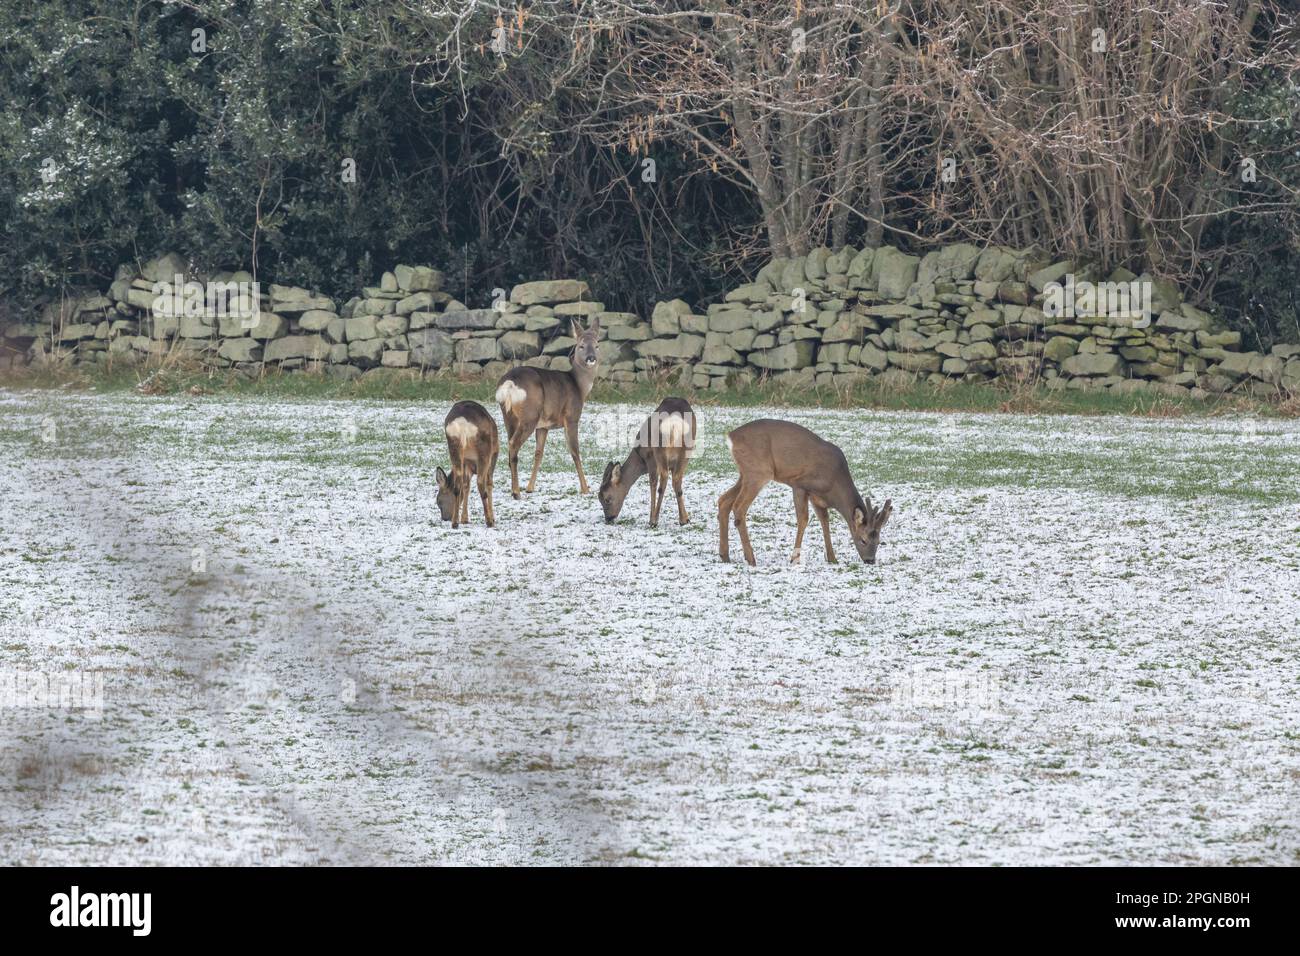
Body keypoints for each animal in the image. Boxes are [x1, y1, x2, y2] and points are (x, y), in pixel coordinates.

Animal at [435, 400, 499, 528]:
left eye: (438, 501)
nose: (444, 518)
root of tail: (462, 424)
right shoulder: (494, 454)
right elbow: (489, 484)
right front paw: (493, 518)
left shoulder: (466, 463)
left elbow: (466, 486)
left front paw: (464, 519)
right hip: (484, 450)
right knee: (481, 483)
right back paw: (489, 521)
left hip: (454, 447)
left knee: (458, 485)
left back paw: (455, 523)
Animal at [495, 317, 599, 498]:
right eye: (581, 346)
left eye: (597, 345)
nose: (591, 358)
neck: (579, 386)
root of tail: (509, 383)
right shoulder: (572, 417)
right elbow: (575, 451)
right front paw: (586, 489)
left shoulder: (543, 426)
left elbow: (539, 453)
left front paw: (530, 487)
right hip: (529, 415)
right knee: (514, 444)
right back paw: (516, 492)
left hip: (508, 415)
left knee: (509, 444)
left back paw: (515, 489)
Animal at [598, 397, 697, 526]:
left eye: (607, 499)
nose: (609, 518)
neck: (640, 461)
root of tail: (674, 423)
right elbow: (677, 485)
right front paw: (686, 518)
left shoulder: (650, 458)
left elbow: (652, 484)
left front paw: (651, 519)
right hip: (687, 451)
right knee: (676, 480)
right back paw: (682, 520)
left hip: (659, 451)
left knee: (662, 481)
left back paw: (654, 521)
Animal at [718, 419, 892, 566]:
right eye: (863, 540)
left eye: (879, 541)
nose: (870, 560)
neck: (834, 484)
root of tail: (731, 436)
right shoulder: (800, 485)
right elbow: (803, 519)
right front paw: (794, 558)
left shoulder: (817, 498)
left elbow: (824, 521)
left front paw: (832, 558)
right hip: (759, 471)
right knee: (739, 507)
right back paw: (751, 558)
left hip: (745, 474)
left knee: (723, 500)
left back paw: (725, 555)